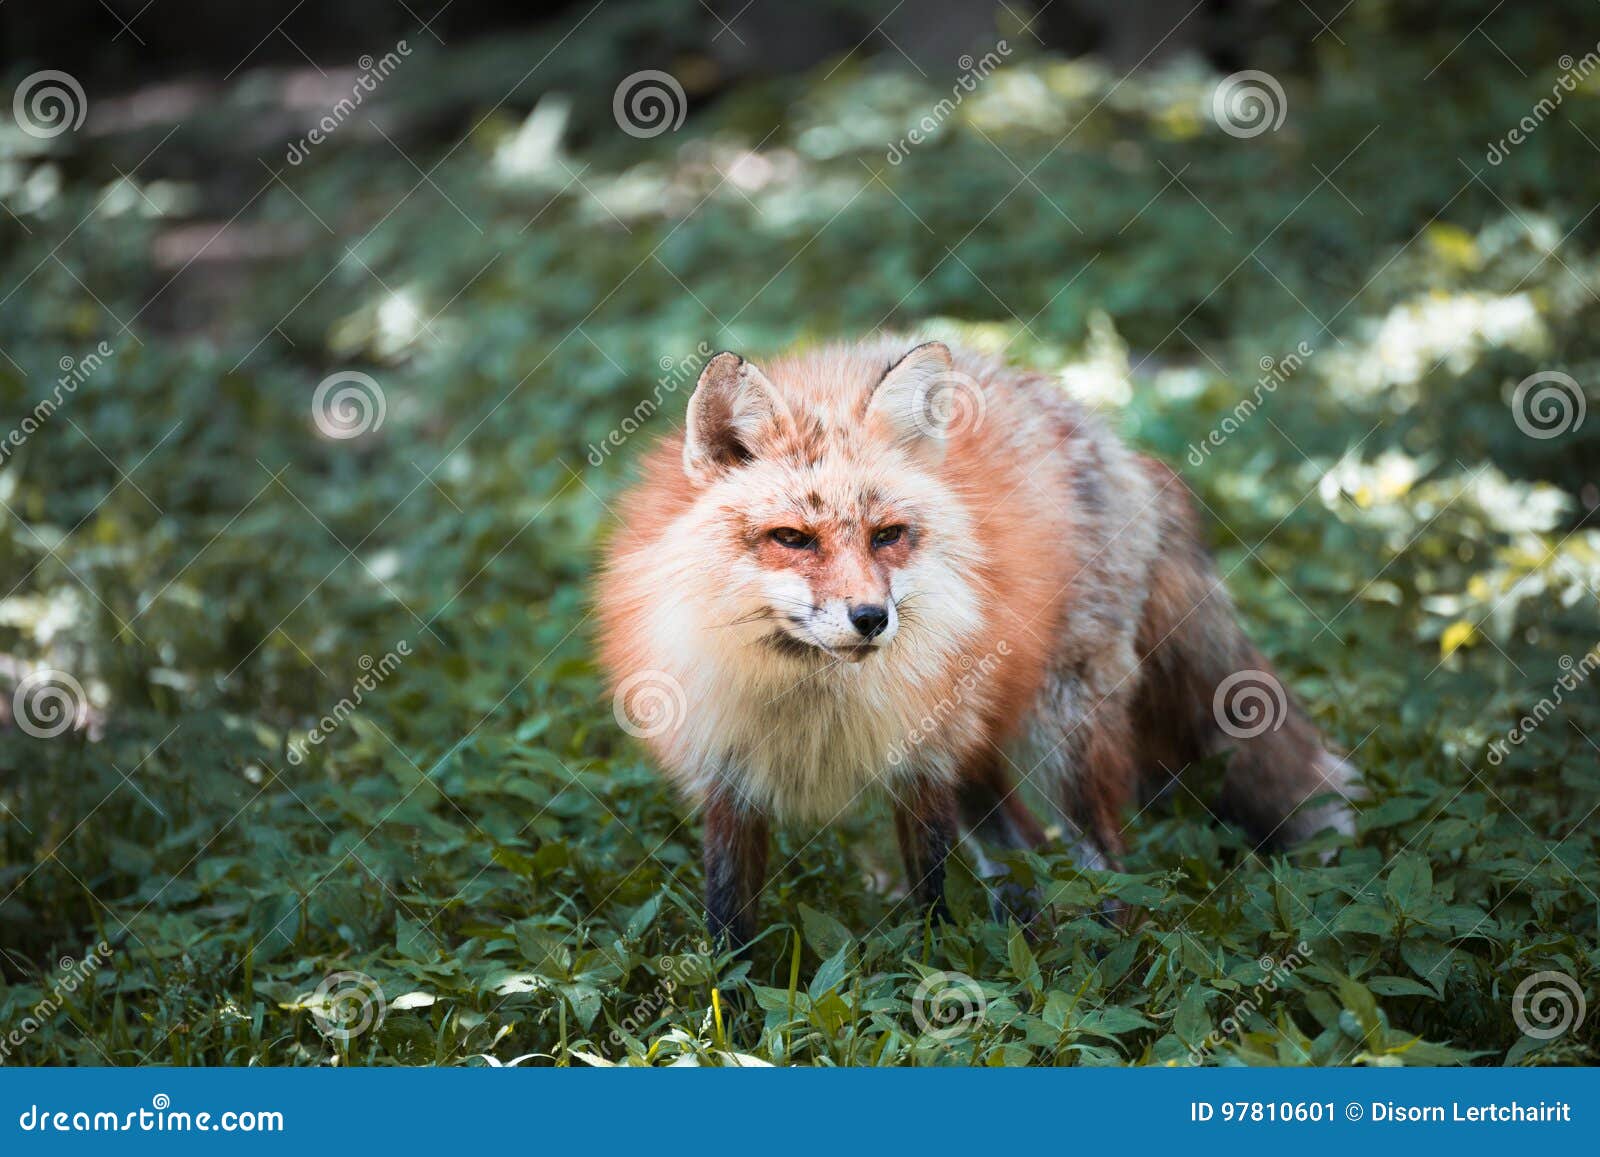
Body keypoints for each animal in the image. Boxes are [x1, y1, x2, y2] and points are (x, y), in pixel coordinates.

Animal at [597, 337, 1356, 946]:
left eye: (887, 535)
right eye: (792, 538)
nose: (871, 618)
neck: (813, 701)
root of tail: (1109, 436)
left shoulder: (926, 762)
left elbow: (931, 897)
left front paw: (933, 983)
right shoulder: (727, 773)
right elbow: (729, 918)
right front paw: (732, 1012)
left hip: (1063, 735)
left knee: (1104, 862)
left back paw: (1111, 960)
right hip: (982, 754)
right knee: (1024, 848)